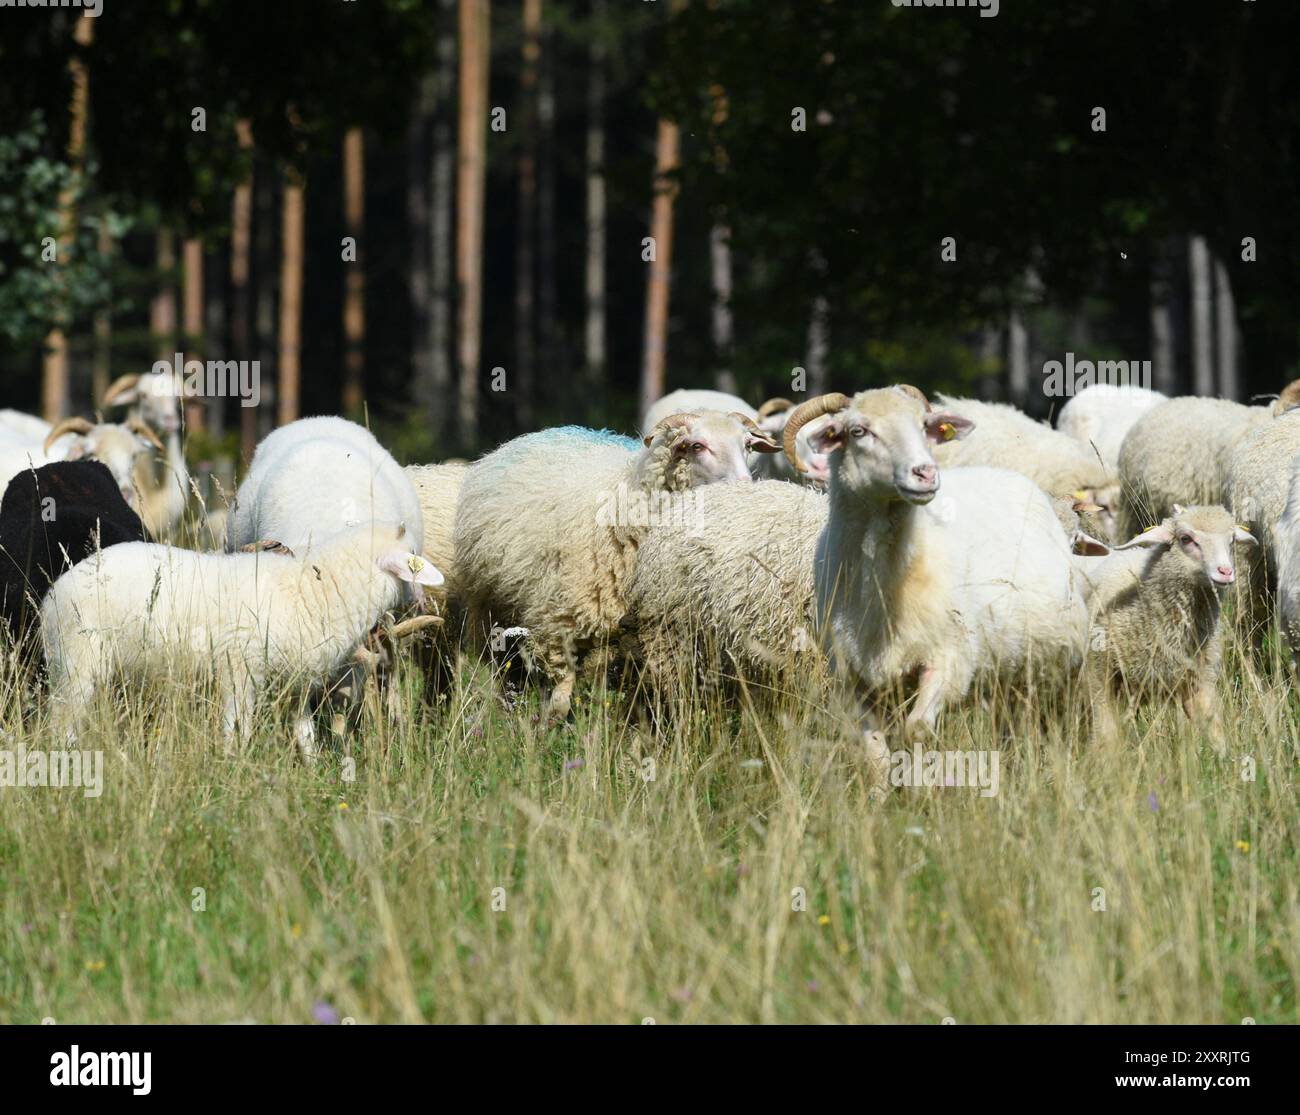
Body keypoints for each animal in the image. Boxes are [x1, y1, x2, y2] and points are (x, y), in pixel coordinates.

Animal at [40, 520, 443, 754]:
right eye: (413, 558)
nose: (425, 599)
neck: (313, 589)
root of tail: (53, 593)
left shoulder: (295, 686)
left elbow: (306, 736)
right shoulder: (238, 673)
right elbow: (237, 729)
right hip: (77, 664)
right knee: (62, 724)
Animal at [453, 413, 780, 720]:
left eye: (747, 445)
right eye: (697, 446)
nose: (744, 487)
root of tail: (545, 432)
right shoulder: (558, 623)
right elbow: (559, 702)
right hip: (490, 612)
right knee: (501, 669)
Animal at [779, 388, 1089, 783]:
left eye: (924, 426)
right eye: (858, 431)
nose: (925, 473)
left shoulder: (949, 659)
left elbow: (917, 730)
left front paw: (921, 785)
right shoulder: (852, 678)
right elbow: (876, 753)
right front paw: (882, 793)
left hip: (1047, 667)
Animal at [1072, 505, 1254, 746]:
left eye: (1231, 540)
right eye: (1186, 538)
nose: (1225, 572)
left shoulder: (1200, 679)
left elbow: (1213, 730)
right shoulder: (1098, 673)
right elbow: (1107, 734)